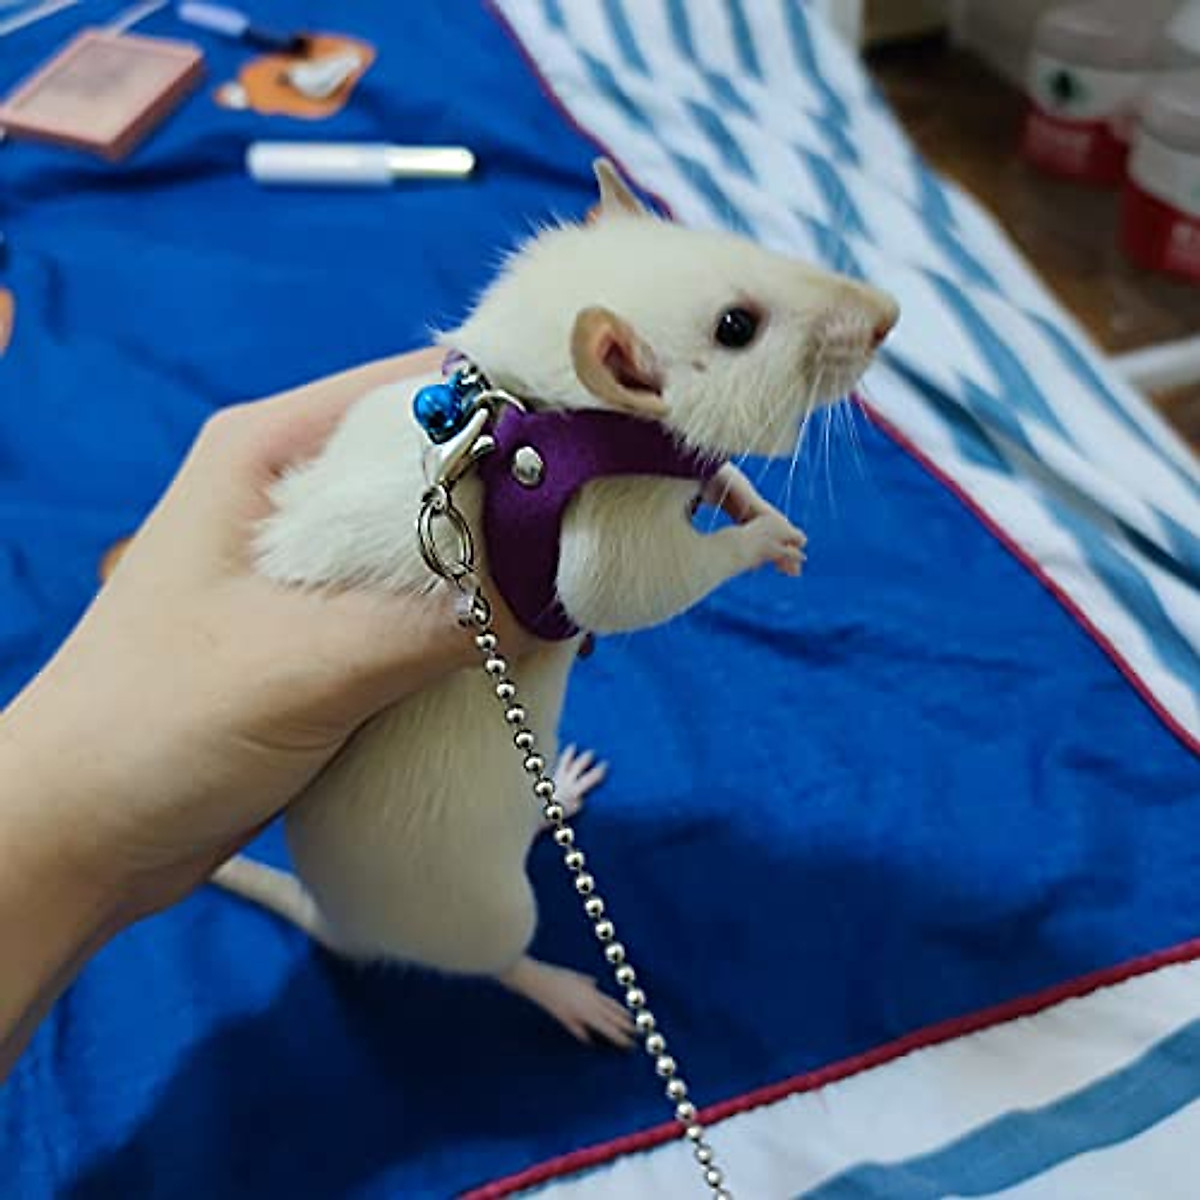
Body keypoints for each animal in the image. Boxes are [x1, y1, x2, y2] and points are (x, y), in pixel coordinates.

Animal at [211, 159, 899, 1045]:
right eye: (737, 326)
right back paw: (559, 988)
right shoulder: (601, 515)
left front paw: (749, 501)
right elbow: (618, 585)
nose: (888, 314)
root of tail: (341, 921)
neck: (522, 397)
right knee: (501, 962)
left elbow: (710, 476)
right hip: (485, 912)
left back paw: (560, 795)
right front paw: (756, 541)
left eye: (723, 238)